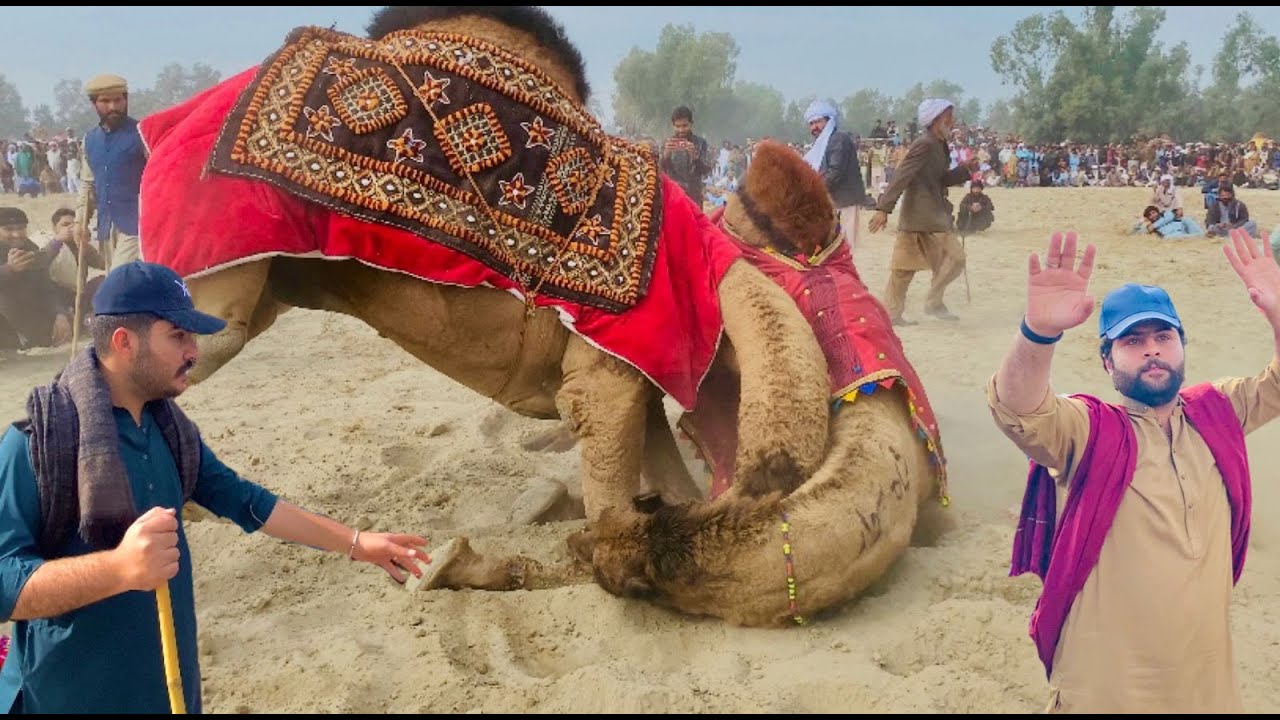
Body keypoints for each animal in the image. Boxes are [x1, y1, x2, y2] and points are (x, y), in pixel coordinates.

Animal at [137, 7, 830, 529]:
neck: (704, 262)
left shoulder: (637, 368)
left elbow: (662, 463)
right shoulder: (620, 349)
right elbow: (608, 472)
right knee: (199, 340)